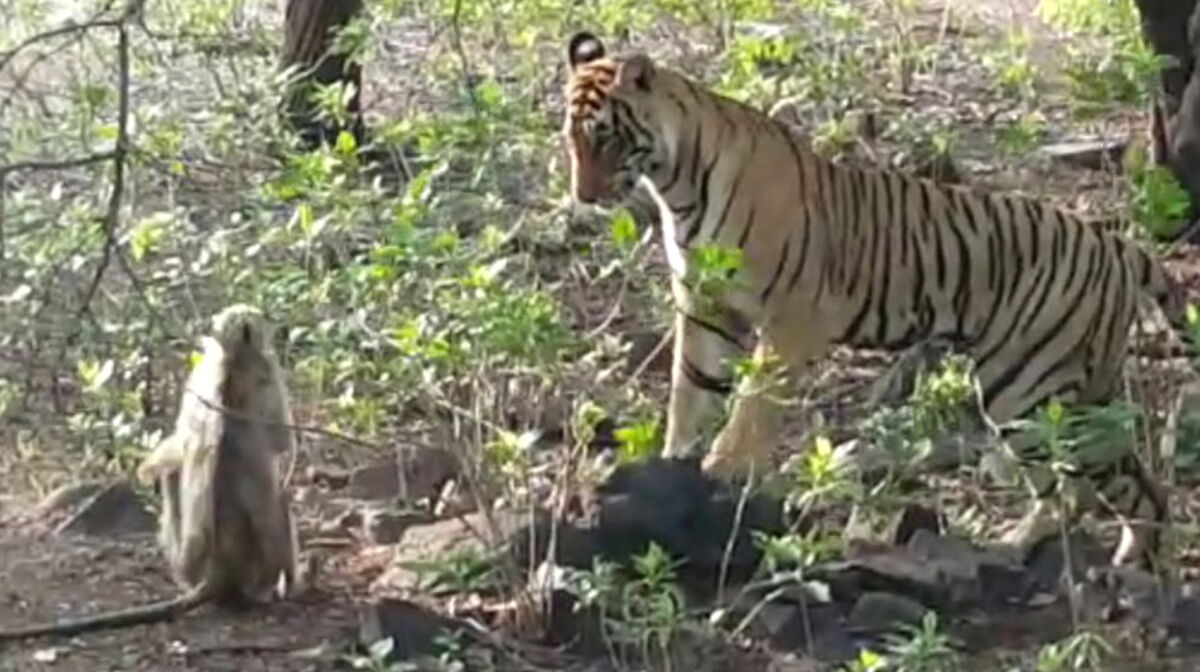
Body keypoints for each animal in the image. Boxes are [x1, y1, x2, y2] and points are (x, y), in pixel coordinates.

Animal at [0, 305, 300, 642]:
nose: (273, 325)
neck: (232, 361)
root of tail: (216, 575)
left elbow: (181, 444)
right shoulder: (265, 368)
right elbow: (281, 444)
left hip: (186, 561)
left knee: (172, 473)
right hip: (247, 570)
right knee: (281, 497)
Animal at [560, 31, 1192, 567]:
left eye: (604, 137)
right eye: (571, 139)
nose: (583, 195)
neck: (677, 186)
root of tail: (1114, 243)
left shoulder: (791, 319)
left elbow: (752, 403)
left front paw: (724, 469)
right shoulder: (706, 307)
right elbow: (690, 394)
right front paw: (676, 466)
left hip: (1028, 389)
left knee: (1104, 484)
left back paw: (1104, 559)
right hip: (1055, 393)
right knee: (1105, 482)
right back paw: (1055, 550)